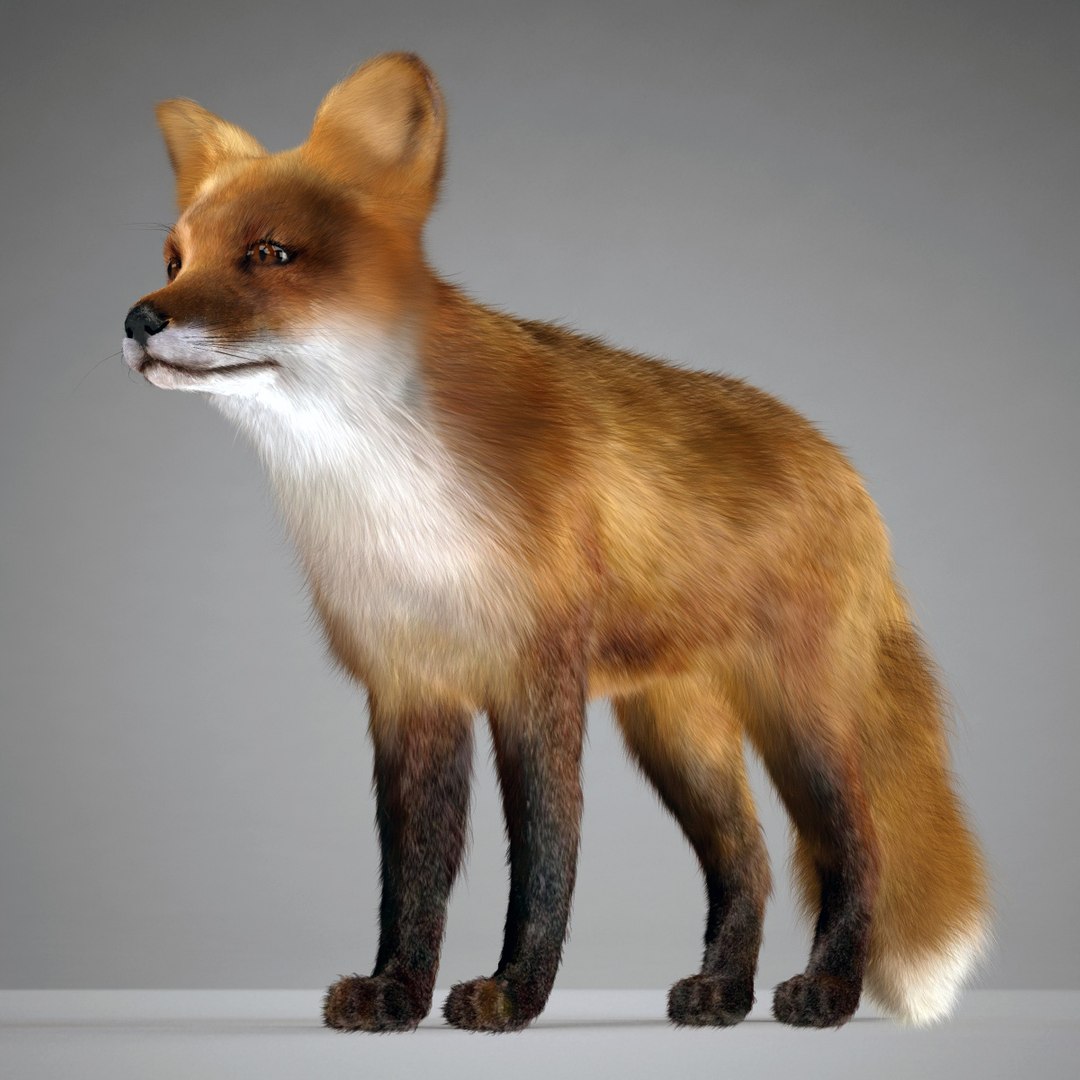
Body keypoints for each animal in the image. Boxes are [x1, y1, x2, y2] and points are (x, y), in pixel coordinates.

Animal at [123, 52, 991, 1033]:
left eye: (270, 254)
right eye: (174, 260)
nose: (140, 319)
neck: (402, 513)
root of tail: (839, 461)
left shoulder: (534, 679)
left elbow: (544, 862)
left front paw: (512, 994)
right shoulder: (410, 688)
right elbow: (410, 878)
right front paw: (396, 995)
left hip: (797, 715)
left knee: (855, 845)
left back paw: (829, 992)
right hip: (676, 735)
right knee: (750, 861)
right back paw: (724, 993)